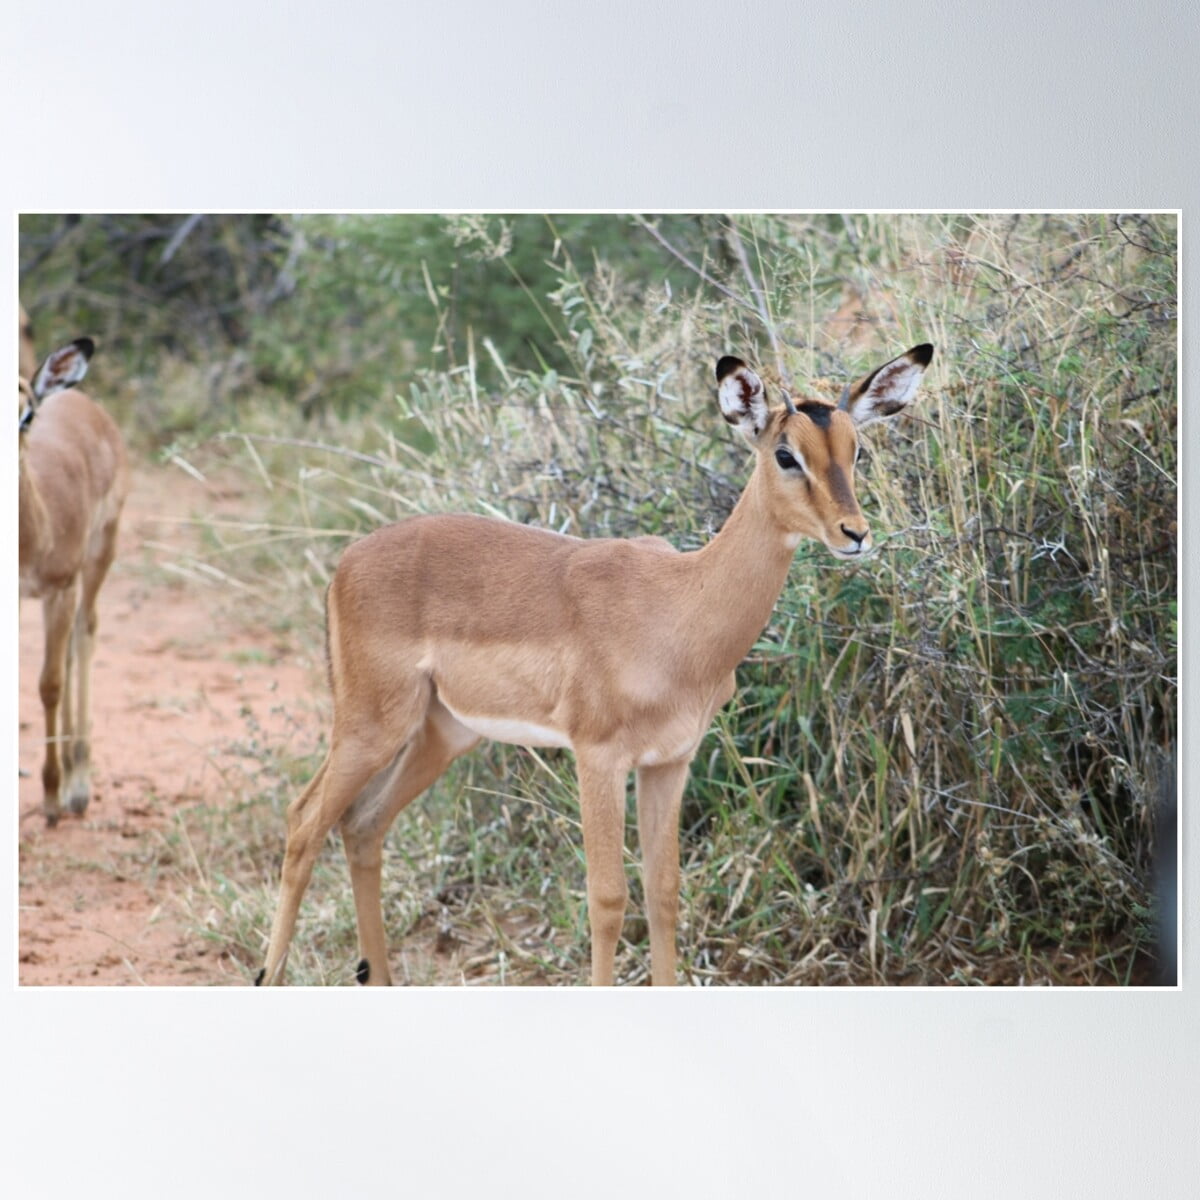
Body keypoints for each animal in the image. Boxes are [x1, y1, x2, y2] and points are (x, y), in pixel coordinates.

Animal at [258, 343, 933, 986]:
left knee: (362, 826)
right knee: (303, 823)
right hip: (371, 726)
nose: (855, 533)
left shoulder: (669, 762)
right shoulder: (598, 757)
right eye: (785, 455)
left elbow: (664, 894)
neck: (680, 608)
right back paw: (272, 975)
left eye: (857, 450)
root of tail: (345, 564)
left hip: (441, 732)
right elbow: (608, 899)